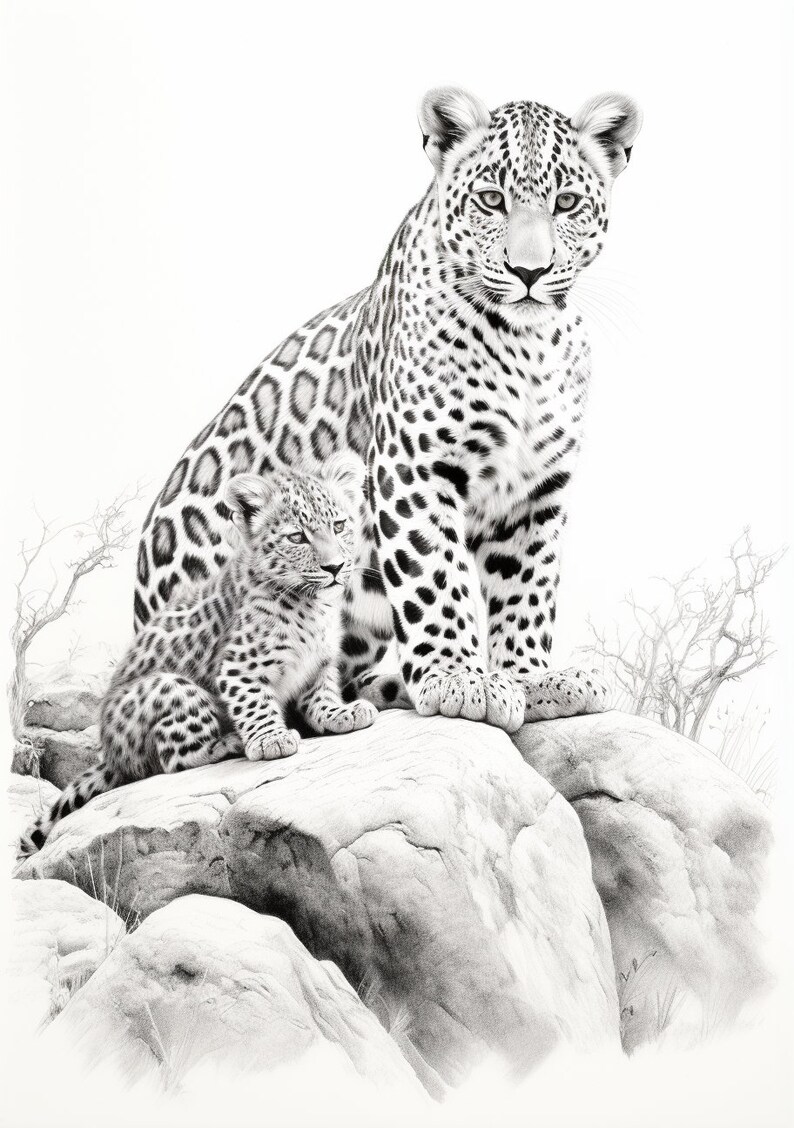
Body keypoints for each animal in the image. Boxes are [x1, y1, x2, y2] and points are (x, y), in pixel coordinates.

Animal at [22, 453, 376, 854]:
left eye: (339, 525)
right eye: (296, 536)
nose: (334, 567)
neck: (314, 605)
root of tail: (109, 753)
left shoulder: (320, 663)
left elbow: (322, 694)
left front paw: (340, 714)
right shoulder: (239, 668)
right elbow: (255, 704)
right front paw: (271, 739)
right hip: (171, 688)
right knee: (171, 758)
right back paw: (229, 743)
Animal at [134, 87, 642, 734]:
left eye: (567, 202)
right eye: (491, 199)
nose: (530, 272)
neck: (531, 344)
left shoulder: (536, 491)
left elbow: (527, 590)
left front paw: (531, 679)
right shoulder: (416, 466)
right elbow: (436, 576)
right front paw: (459, 678)